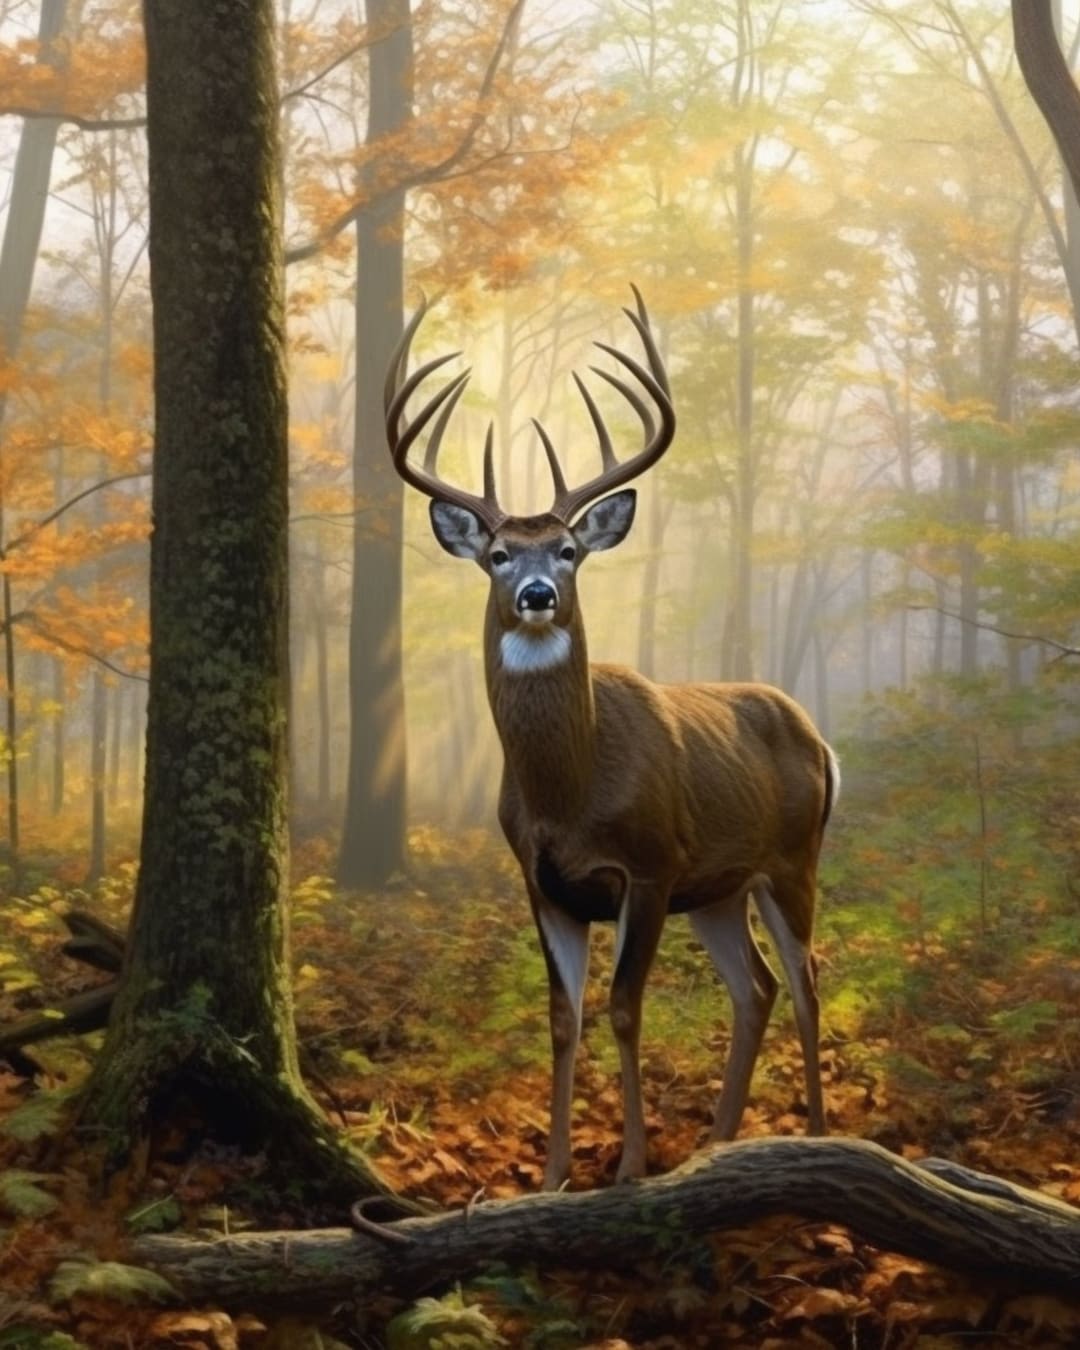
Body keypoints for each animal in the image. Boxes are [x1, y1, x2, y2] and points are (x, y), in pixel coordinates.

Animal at [384, 286, 839, 1188]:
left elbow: (626, 1008)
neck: (572, 791)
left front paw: (628, 1164)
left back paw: (808, 1132)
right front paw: (555, 1171)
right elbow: (564, 1016)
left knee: (804, 973)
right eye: (496, 553)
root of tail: (819, 736)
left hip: (790, 856)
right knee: (756, 986)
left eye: (568, 550)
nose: (534, 593)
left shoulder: (651, 864)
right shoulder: (542, 880)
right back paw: (718, 1141)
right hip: (721, 885)